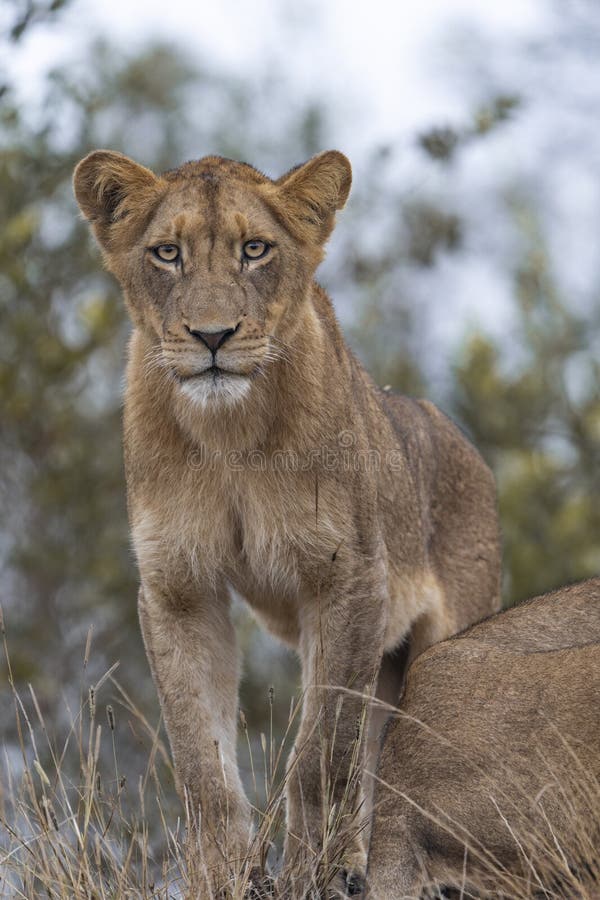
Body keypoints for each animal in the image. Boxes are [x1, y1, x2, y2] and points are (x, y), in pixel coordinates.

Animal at [73, 148, 501, 897]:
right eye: (167, 253)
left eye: (255, 250)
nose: (212, 336)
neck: (228, 436)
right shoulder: (178, 588)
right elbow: (203, 765)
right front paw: (224, 878)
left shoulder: (348, 578)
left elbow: (320, 757)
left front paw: (311, 874)